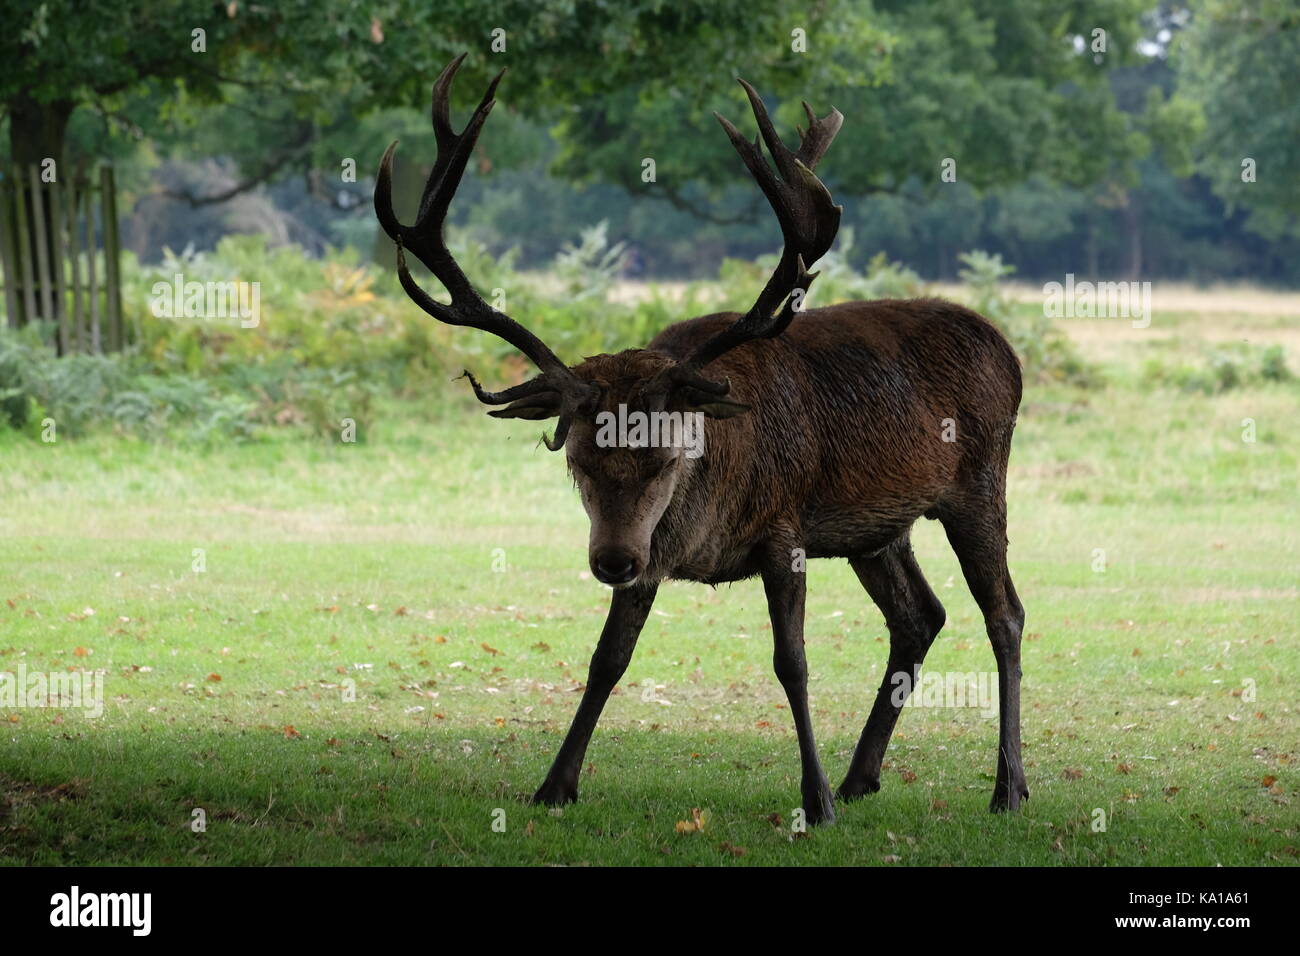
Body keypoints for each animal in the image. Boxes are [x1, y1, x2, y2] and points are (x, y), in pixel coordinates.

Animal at [375, 54, 1028, 825]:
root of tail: (1009, 351)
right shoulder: (655, 555)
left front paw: (812, 800)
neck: (708, 520)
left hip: (979, 481)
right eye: (577, 460)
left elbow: (792, 661)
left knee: (1005, 614)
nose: (612, 560)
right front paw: (554, 784)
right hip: (876, 528)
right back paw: (861, 776)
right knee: (920, 616)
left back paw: (1007, 786)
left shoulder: (784, 529)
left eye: (665, 457)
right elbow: (606, 660)